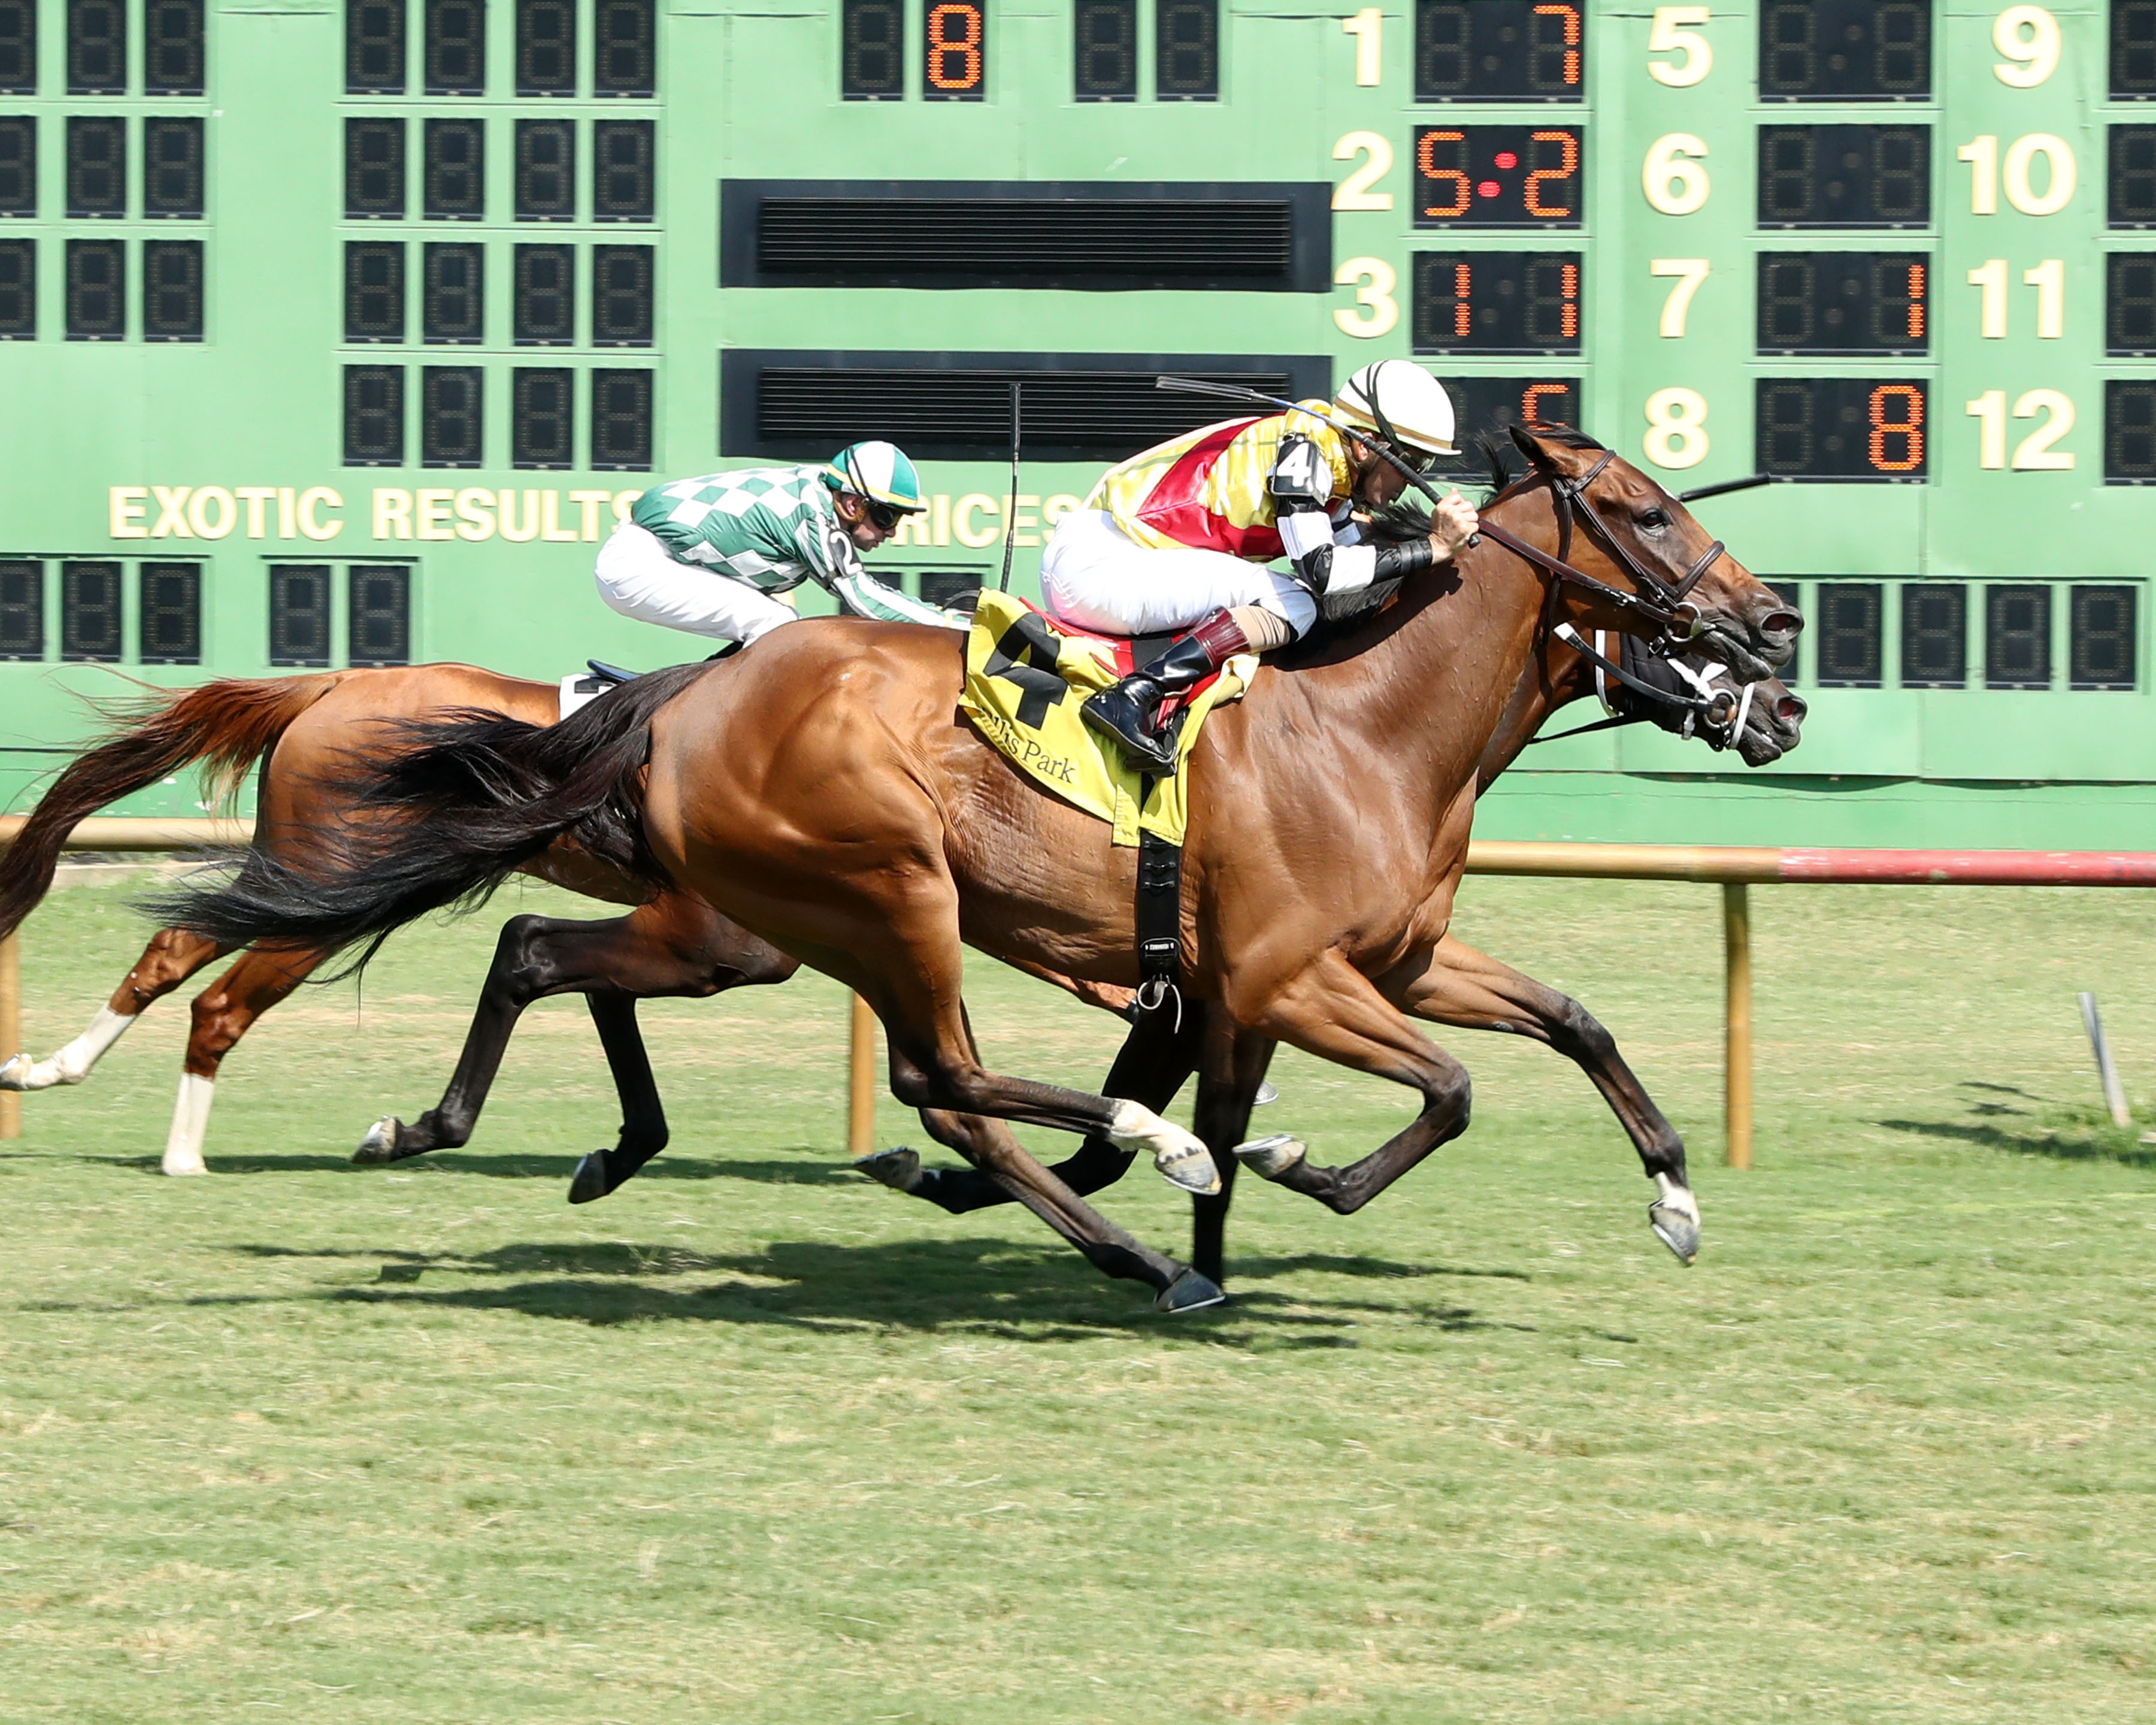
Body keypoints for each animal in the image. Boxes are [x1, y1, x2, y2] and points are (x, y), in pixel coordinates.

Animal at [151, 428, 1800, 1310]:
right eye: (1646, 513)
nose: (1780, 647)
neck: (1365, 725)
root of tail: (684, 701)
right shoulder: (1280, 978)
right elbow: (1440, 1094)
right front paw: (1284, 1173)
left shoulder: (1383, 963)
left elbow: (1574, 1021)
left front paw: (1675, 1197)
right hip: (891, 892)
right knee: (946, 1076)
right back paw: (1139, 1210)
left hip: (784, 920)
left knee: (563, 963)